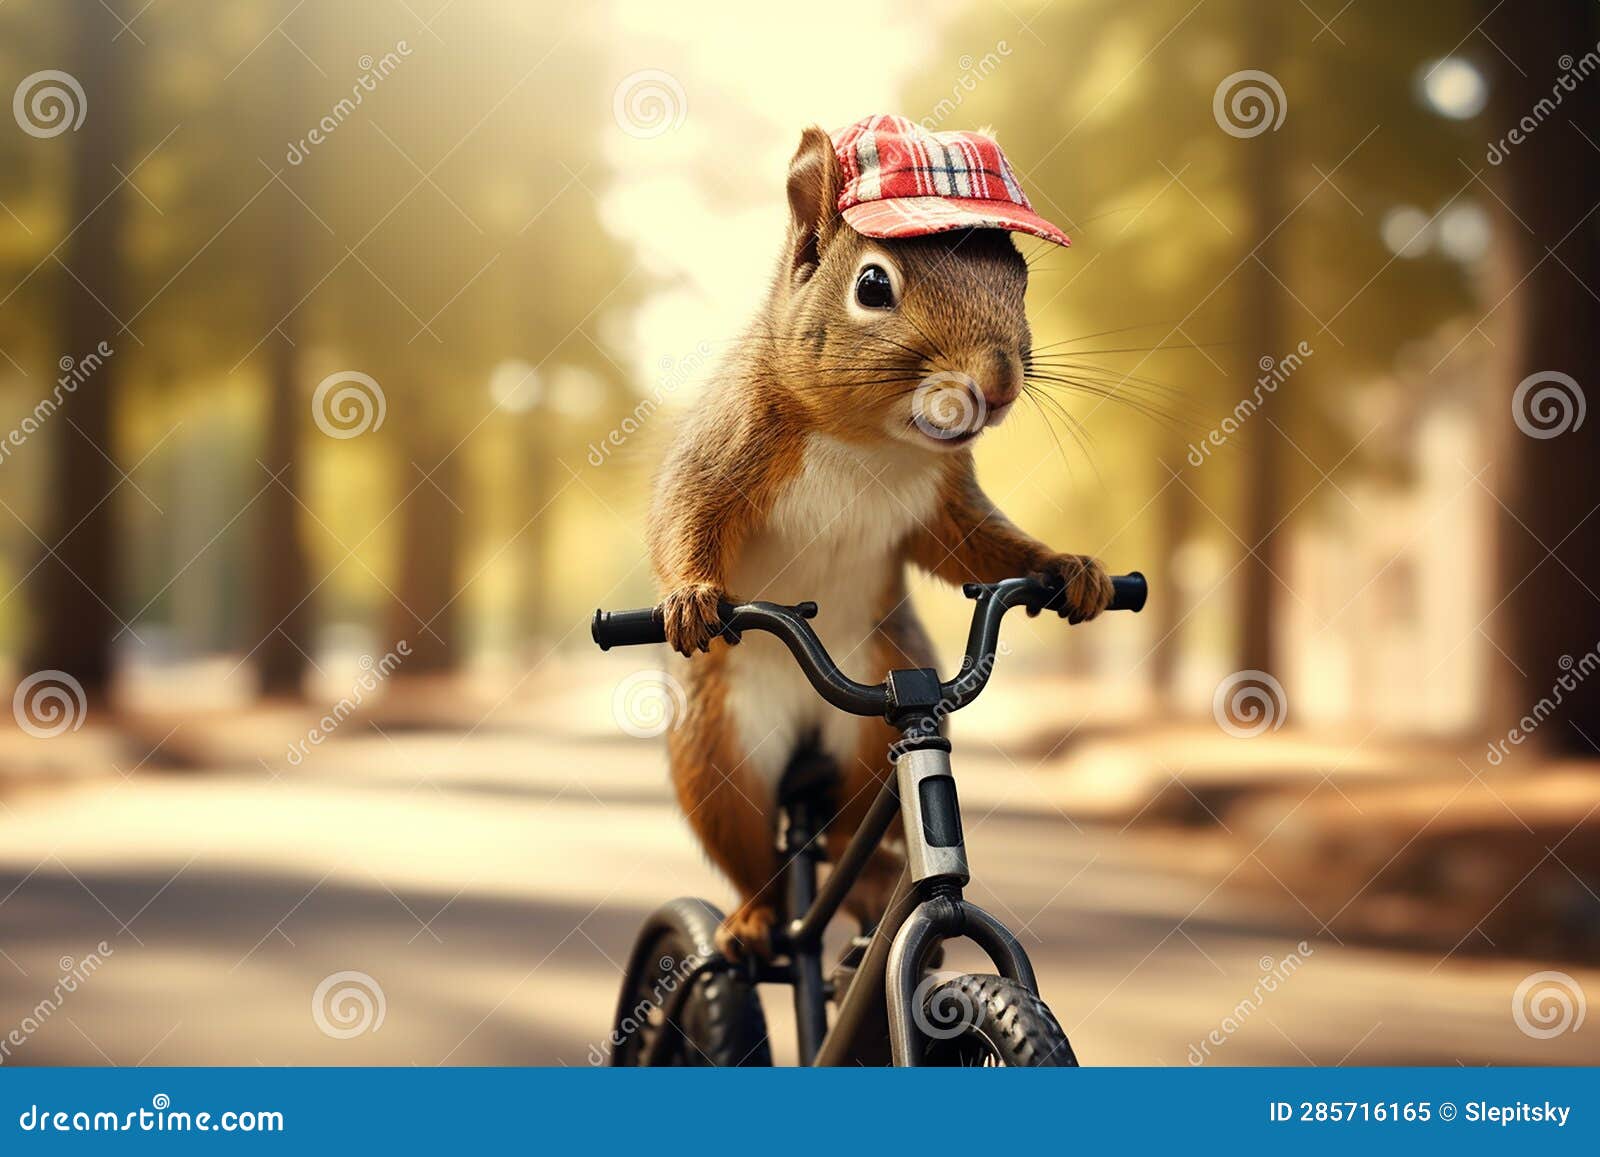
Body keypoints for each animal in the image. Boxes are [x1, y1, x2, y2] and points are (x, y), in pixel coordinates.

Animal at [648, 123, 1114, 960]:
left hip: (879, 698)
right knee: (747, 849)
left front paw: (1068, 567)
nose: (998, 381)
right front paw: (693, 596)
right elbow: (686, 507)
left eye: (1020, 277)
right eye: (872, 285)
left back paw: (865, 878)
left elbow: (976, 546)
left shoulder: (944, 499)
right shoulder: (732, 437)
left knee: (850, 824)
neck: (868, 439)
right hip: (718, 750)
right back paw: (752, 916)